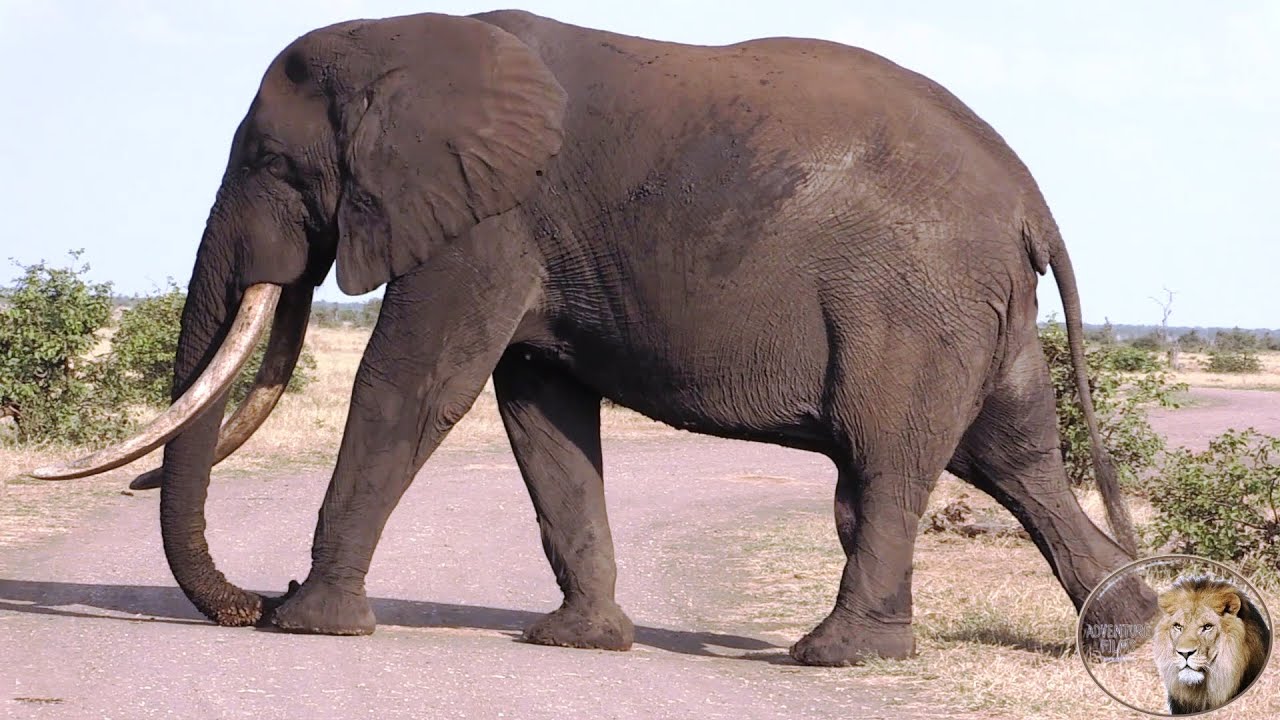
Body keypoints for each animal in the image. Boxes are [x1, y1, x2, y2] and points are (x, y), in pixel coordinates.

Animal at [33, 9, 1151, 666]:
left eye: (269, 161)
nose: (253, 602)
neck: (409, 44)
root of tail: (1029, 197)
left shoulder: (488, 219)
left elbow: (413, 385)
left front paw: (316, 627)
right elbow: (541, 413)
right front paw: (577, 645)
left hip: (913, 304)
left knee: (885, 462)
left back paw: (835, 657)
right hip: (978, 312)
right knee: (1016, 458)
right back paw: (1123, 632)